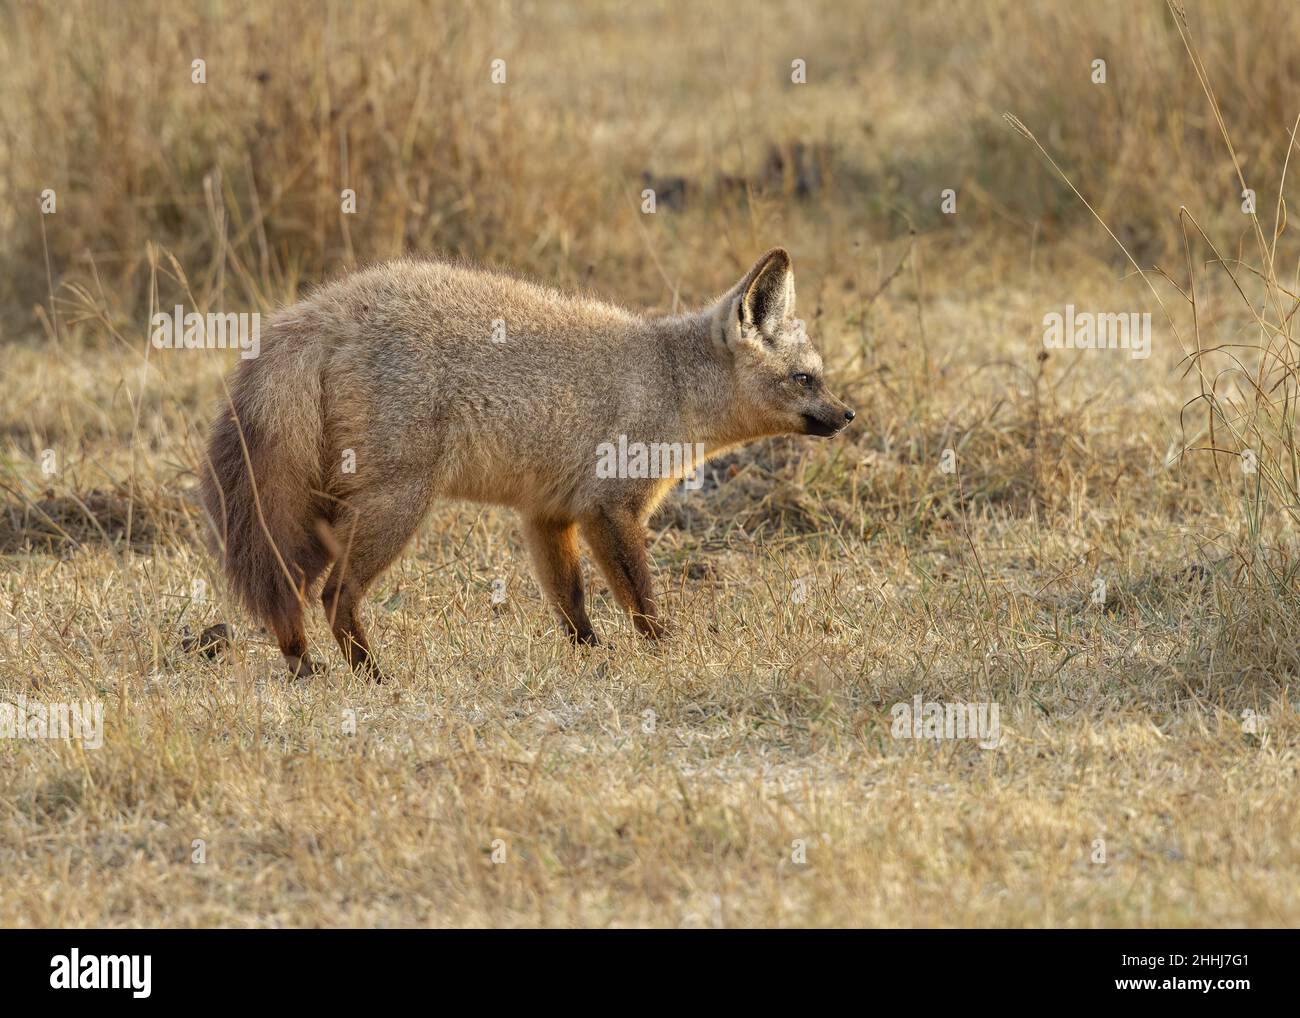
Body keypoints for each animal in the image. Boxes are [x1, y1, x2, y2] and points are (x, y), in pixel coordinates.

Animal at [200, 248, 856, 680]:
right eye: (805, 379)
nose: (848, 415)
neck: (669, 382)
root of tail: (318, 311)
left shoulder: (548, 515)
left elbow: (572, 604)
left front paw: (593, 658)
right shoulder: (609, 510)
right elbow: (641, 599)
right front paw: (666, 654)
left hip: (329, 512)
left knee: (296, 593)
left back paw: (306, 667)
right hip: (395, 508)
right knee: (335, 595)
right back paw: (371, 675)